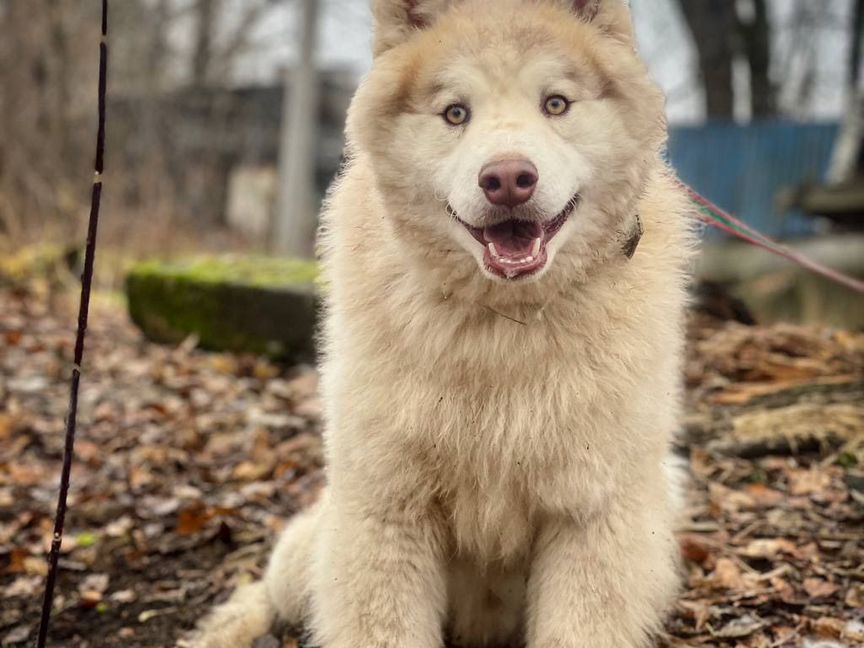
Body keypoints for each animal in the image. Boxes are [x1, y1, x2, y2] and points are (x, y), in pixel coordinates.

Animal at [192, 1, 692, 648]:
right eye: (456, 112)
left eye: (555, 104)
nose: (507, 179)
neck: (504, 324)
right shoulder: (386, 508)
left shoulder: (590, 513)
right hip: (316, 542)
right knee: (269, 593)